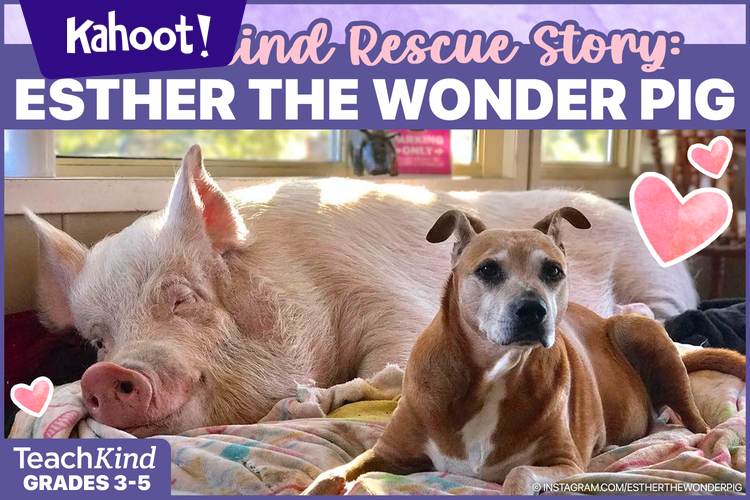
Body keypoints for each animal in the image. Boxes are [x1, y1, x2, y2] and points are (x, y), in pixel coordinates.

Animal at [25, 145, 698, 437]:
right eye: (97, 339)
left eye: (183, 296)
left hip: (660, 277)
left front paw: (311, 402)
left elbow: (393, 362)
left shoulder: (389, 299)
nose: (105, 374)